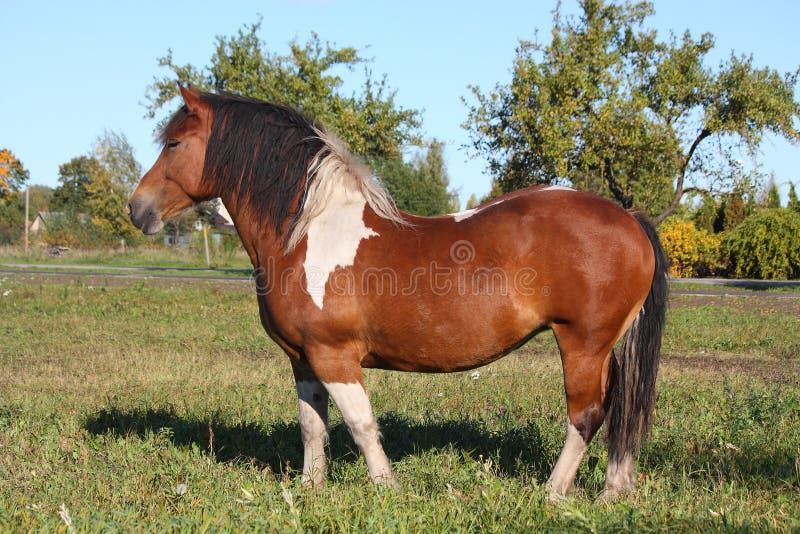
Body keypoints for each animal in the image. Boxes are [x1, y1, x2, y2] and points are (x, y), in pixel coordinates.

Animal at [128, 86, 668, 499]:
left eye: (174, 143)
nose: (137, 209)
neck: (308, 231)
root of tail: (628, 217)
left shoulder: (334, 356)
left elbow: (362, 425)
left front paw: (386, 488)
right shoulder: (303, 359)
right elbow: (312, 426)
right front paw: (309, 489)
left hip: (582, 344)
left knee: (586, 416)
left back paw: (553, 493)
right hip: (605, 348)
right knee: (620, 412)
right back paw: (614, 492)